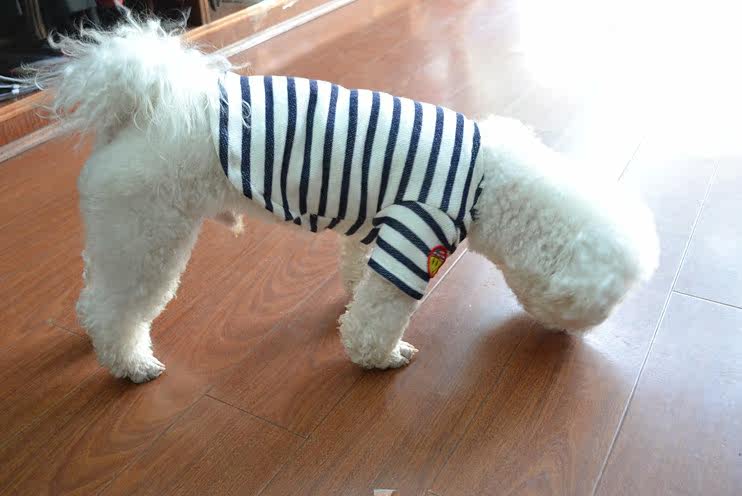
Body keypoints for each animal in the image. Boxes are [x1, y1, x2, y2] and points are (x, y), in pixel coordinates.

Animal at [27, 18, 659, 383]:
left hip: (122, 231)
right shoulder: (417, 236)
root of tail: (143, 108)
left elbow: (359, 271)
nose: (577, 338)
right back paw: (131, 364)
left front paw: (351, 291)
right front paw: (382, 359)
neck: (488, 179)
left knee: (94, 296)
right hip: (147, 233)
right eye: (601, 306)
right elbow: (376, 318)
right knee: (115, 310)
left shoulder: (376, 229)